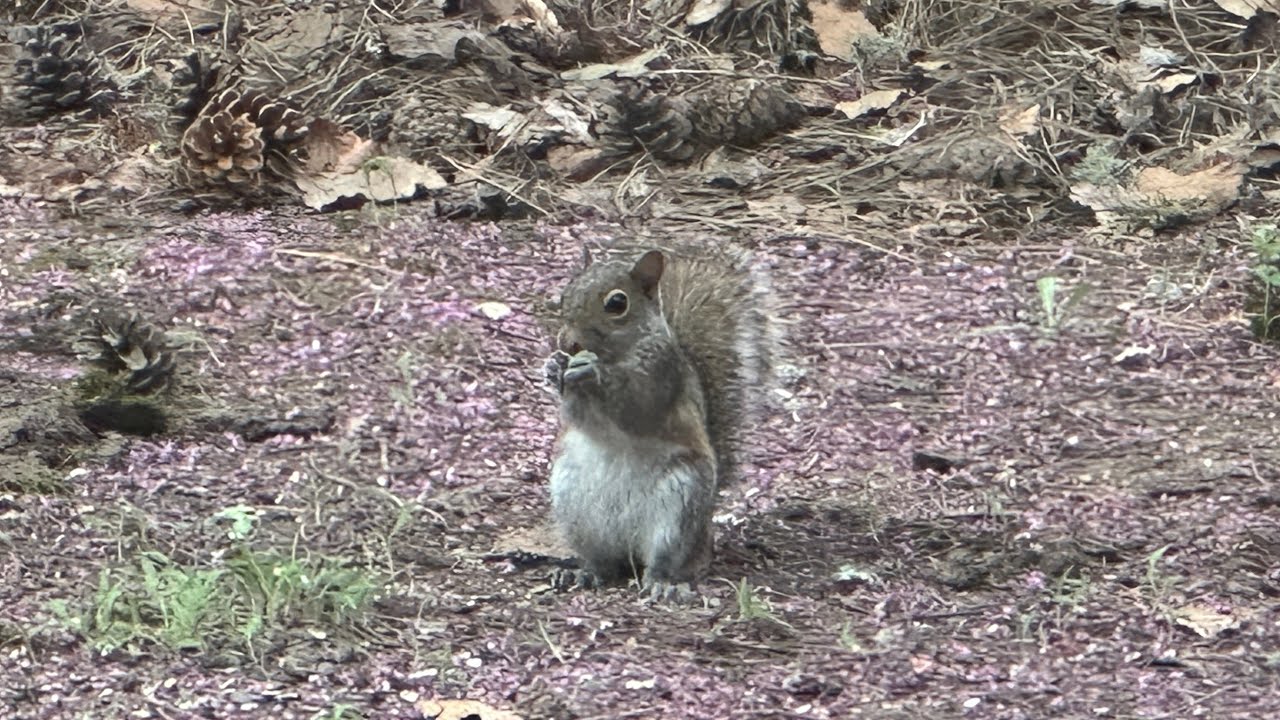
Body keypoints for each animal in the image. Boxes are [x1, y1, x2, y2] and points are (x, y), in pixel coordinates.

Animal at [544, 245, 778, 600]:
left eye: (617, 303)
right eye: (565, 293)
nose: (566, 343)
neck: (620, 354)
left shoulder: (662, 376)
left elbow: (638, 408)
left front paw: (592, 372)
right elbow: (575, 415)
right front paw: (554, 366)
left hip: (678, 508)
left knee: (662, 560)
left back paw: (660, 584)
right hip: (573, 505)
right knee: (604, 563)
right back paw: (582, 572)